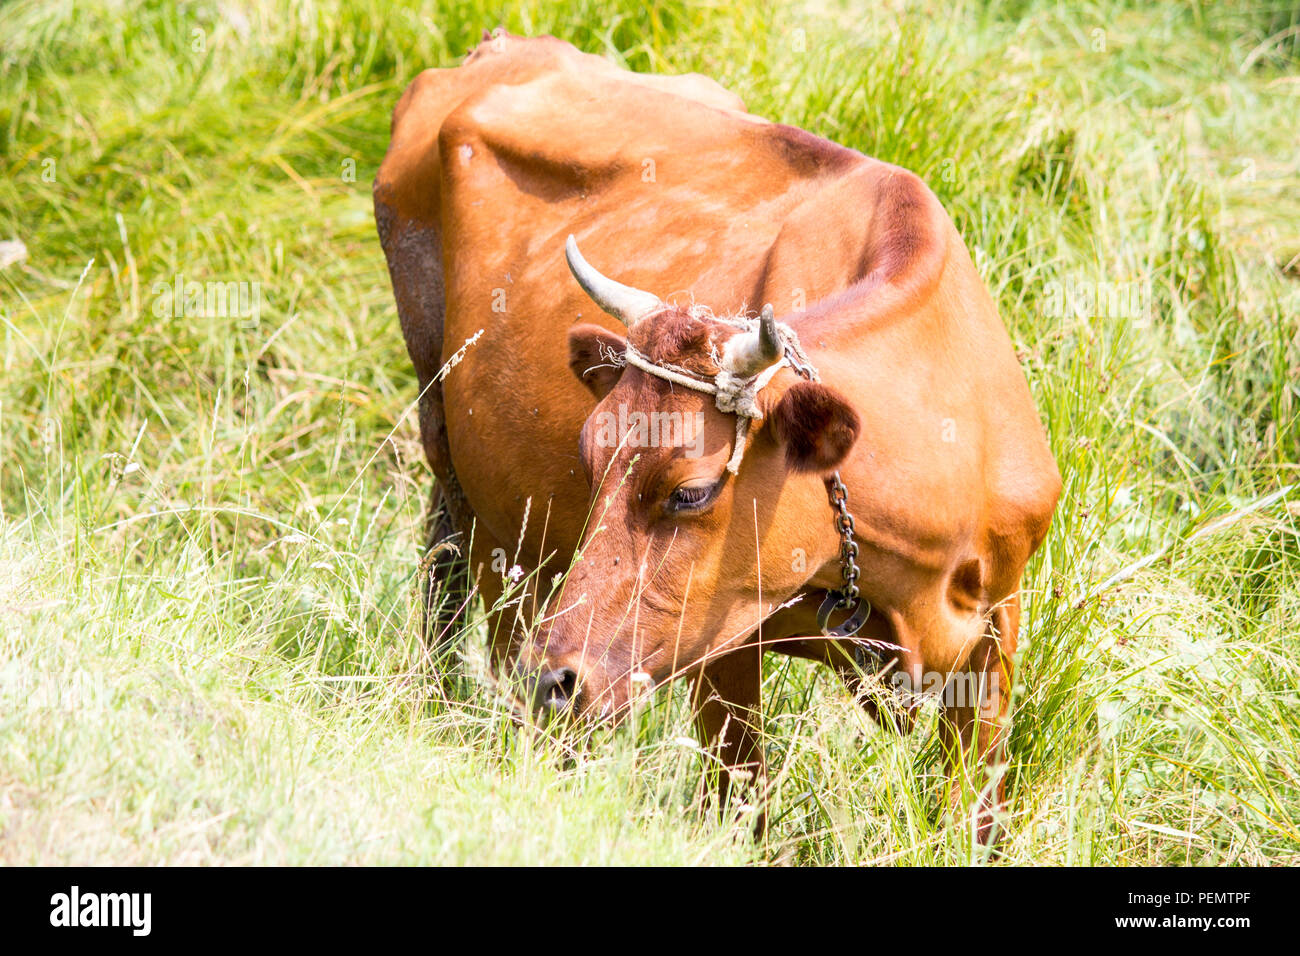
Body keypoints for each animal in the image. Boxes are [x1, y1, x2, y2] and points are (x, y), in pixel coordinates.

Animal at [374, 31, 1061, 843]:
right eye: (591, 460)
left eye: (693, 491)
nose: (559, 680)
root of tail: (506, 45)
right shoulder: (721, 637)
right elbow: (740, 800)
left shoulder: (997, 625)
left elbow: (972, 812)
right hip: (466, 471)